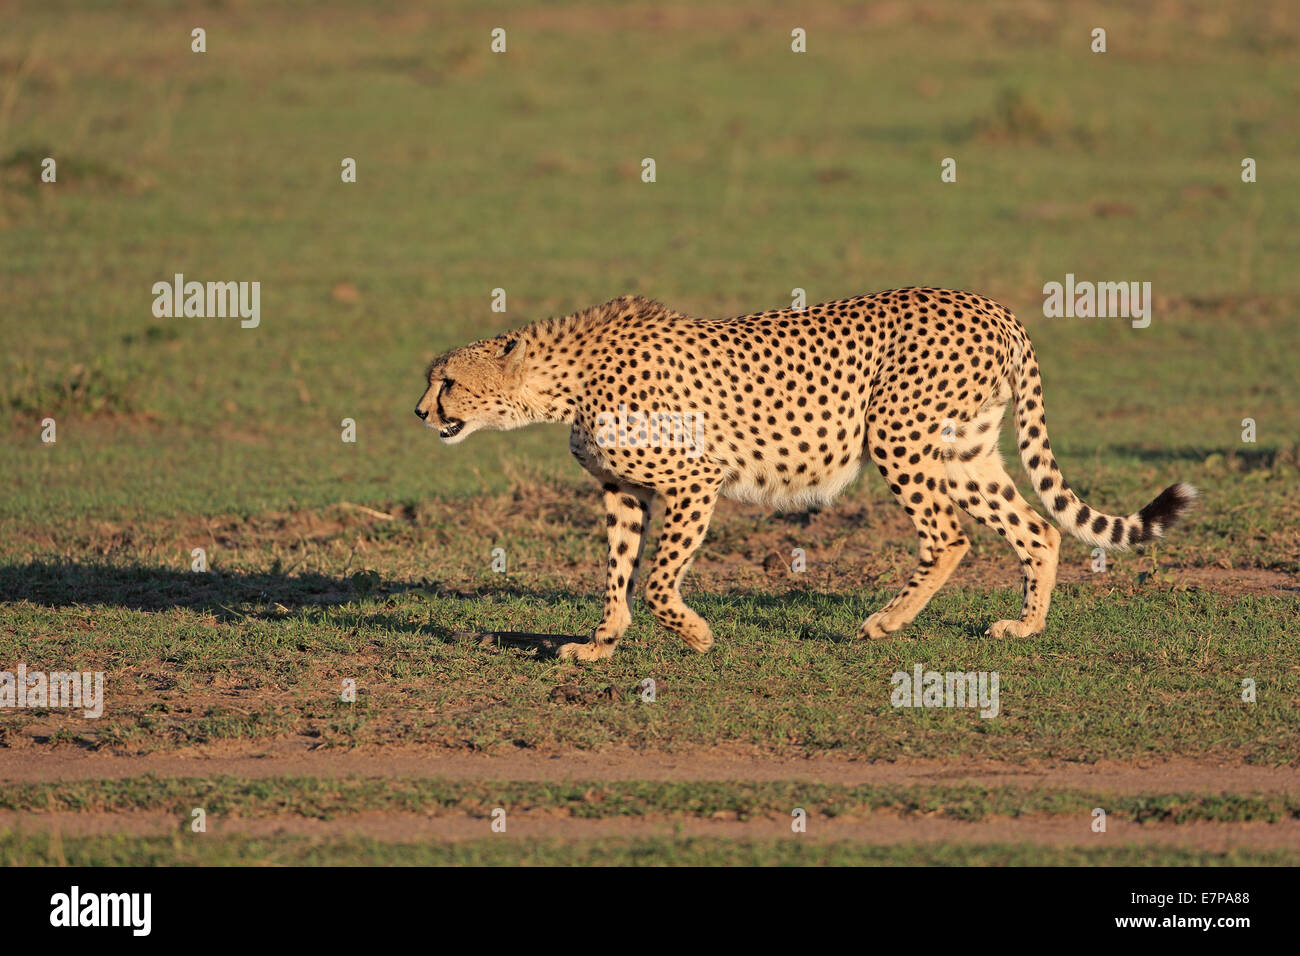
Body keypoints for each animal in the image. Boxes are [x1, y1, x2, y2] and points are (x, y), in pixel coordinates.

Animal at [415, 290, 1196, 661]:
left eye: (447, 381)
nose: (420, 411)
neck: (563, 379)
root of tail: (992, 306)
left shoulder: (696, 477)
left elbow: (659, 579)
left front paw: (694, 635)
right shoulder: (622, 490)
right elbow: (617, 572)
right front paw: (600, 644)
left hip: (898, 436)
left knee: (949, 537)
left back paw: (885, 622)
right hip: (965, 449)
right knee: (1037, 528)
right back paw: (1025, 627)